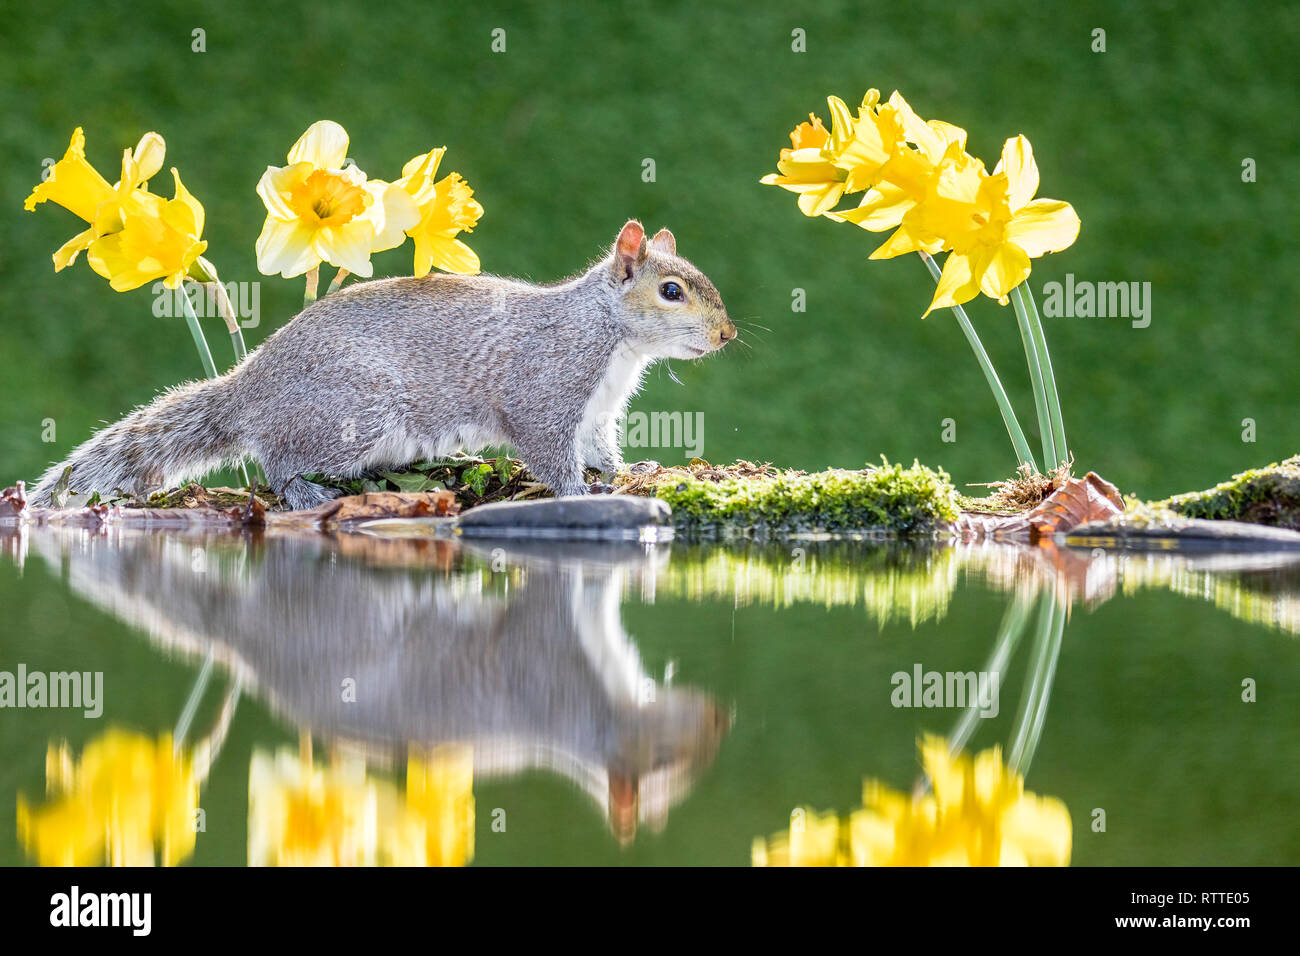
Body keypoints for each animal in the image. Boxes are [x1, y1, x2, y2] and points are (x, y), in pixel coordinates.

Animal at [29, 220, 736, 511]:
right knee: (277, 461)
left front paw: (631, 471)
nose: (727, 334)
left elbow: (600, 449)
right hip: (351, 417)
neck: (612, 339)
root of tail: (248, 388)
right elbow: (551, 452)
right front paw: (578, 493)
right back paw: (305, 491)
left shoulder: (596, 411)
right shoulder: (545, 390)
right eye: (671, 291)